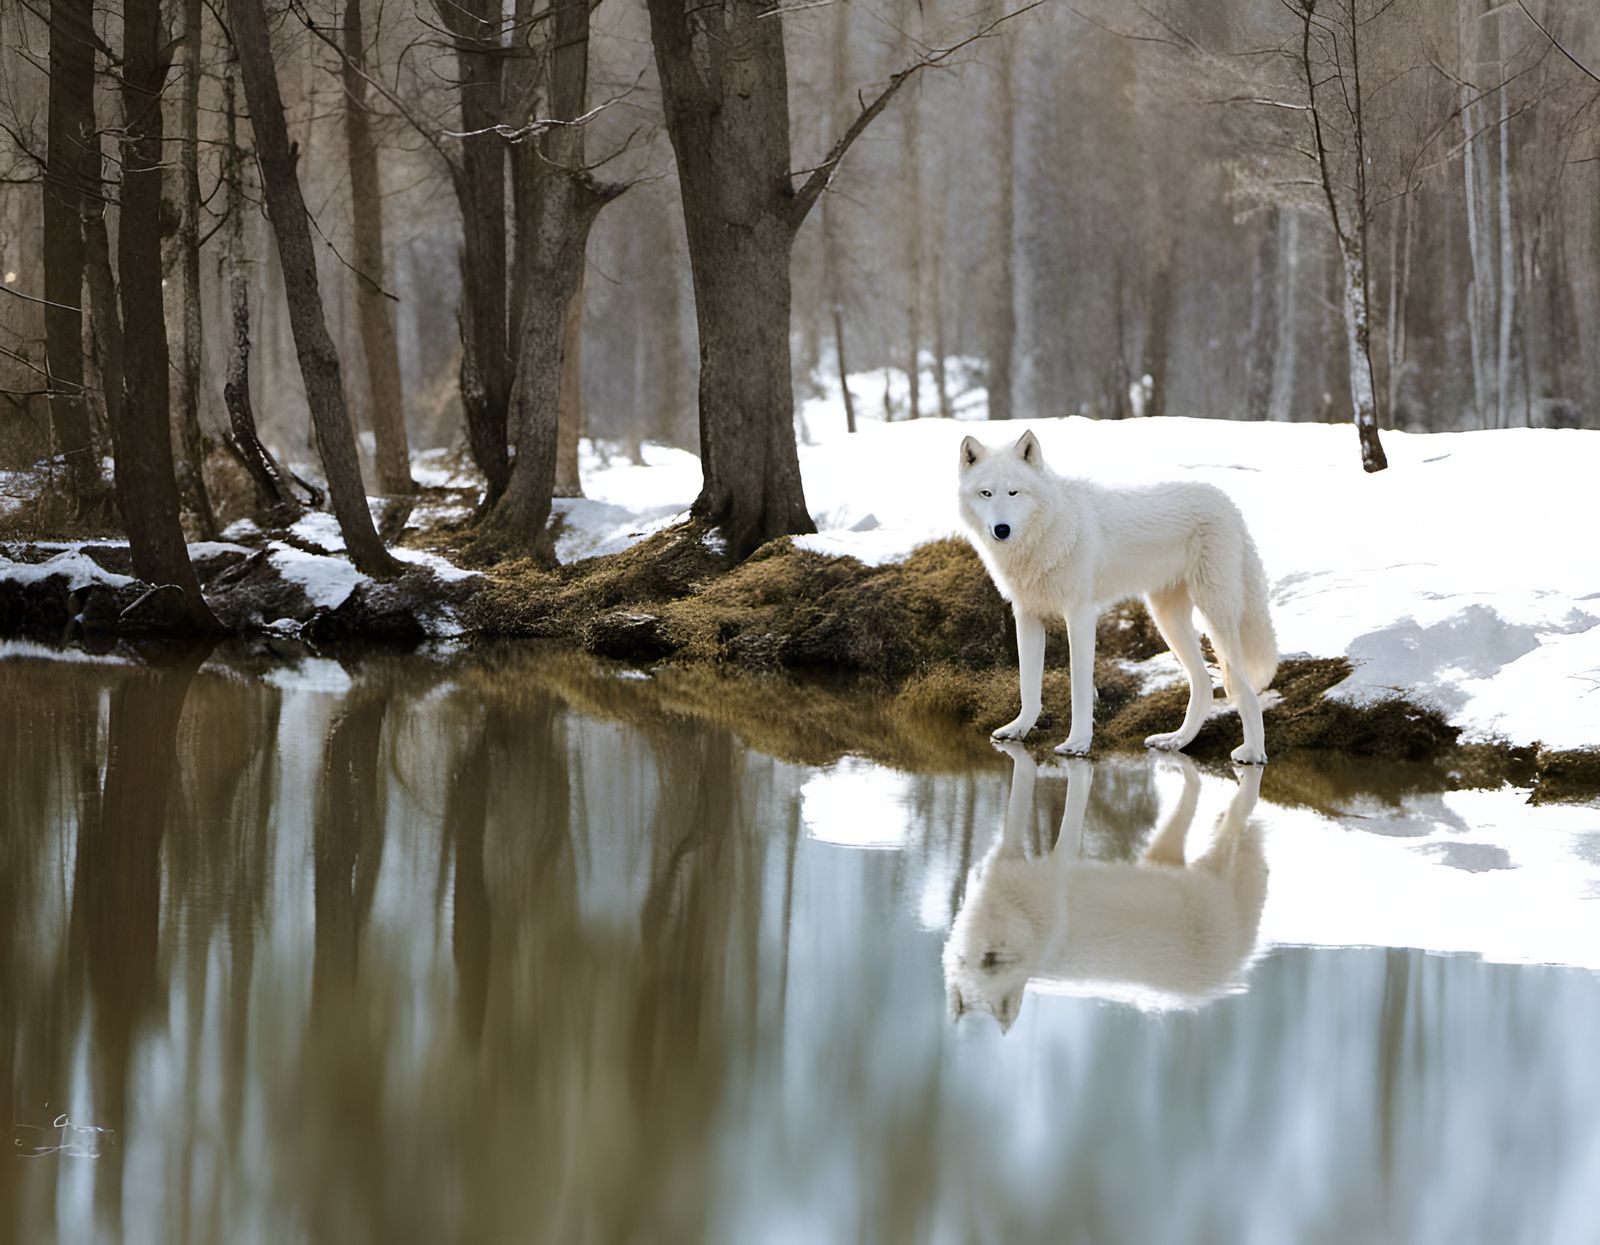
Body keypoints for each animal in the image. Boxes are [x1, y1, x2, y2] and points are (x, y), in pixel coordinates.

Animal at [943, 745, 1267, 1032]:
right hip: (1166, 849)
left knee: (1234, 824)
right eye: (976, 961)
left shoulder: (1055, 864)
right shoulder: (1008, 856)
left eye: (994, 961)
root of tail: (1234, 960)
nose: (986, 948)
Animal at [957, 429, 1278, 764]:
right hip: (1168, 620)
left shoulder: (1080, 616)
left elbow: (1080, 690)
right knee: (1203, 683)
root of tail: (1227, 502)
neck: (1051, 528)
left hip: (1216, 618)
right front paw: (1019, 729)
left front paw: (1077, 743)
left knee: (1242, 688)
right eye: (986, 493)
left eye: (1014, 493)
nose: (1002, 529)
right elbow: (1028, 687)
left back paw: (1253, 753)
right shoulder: (1027, 614)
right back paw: (1175, 741)